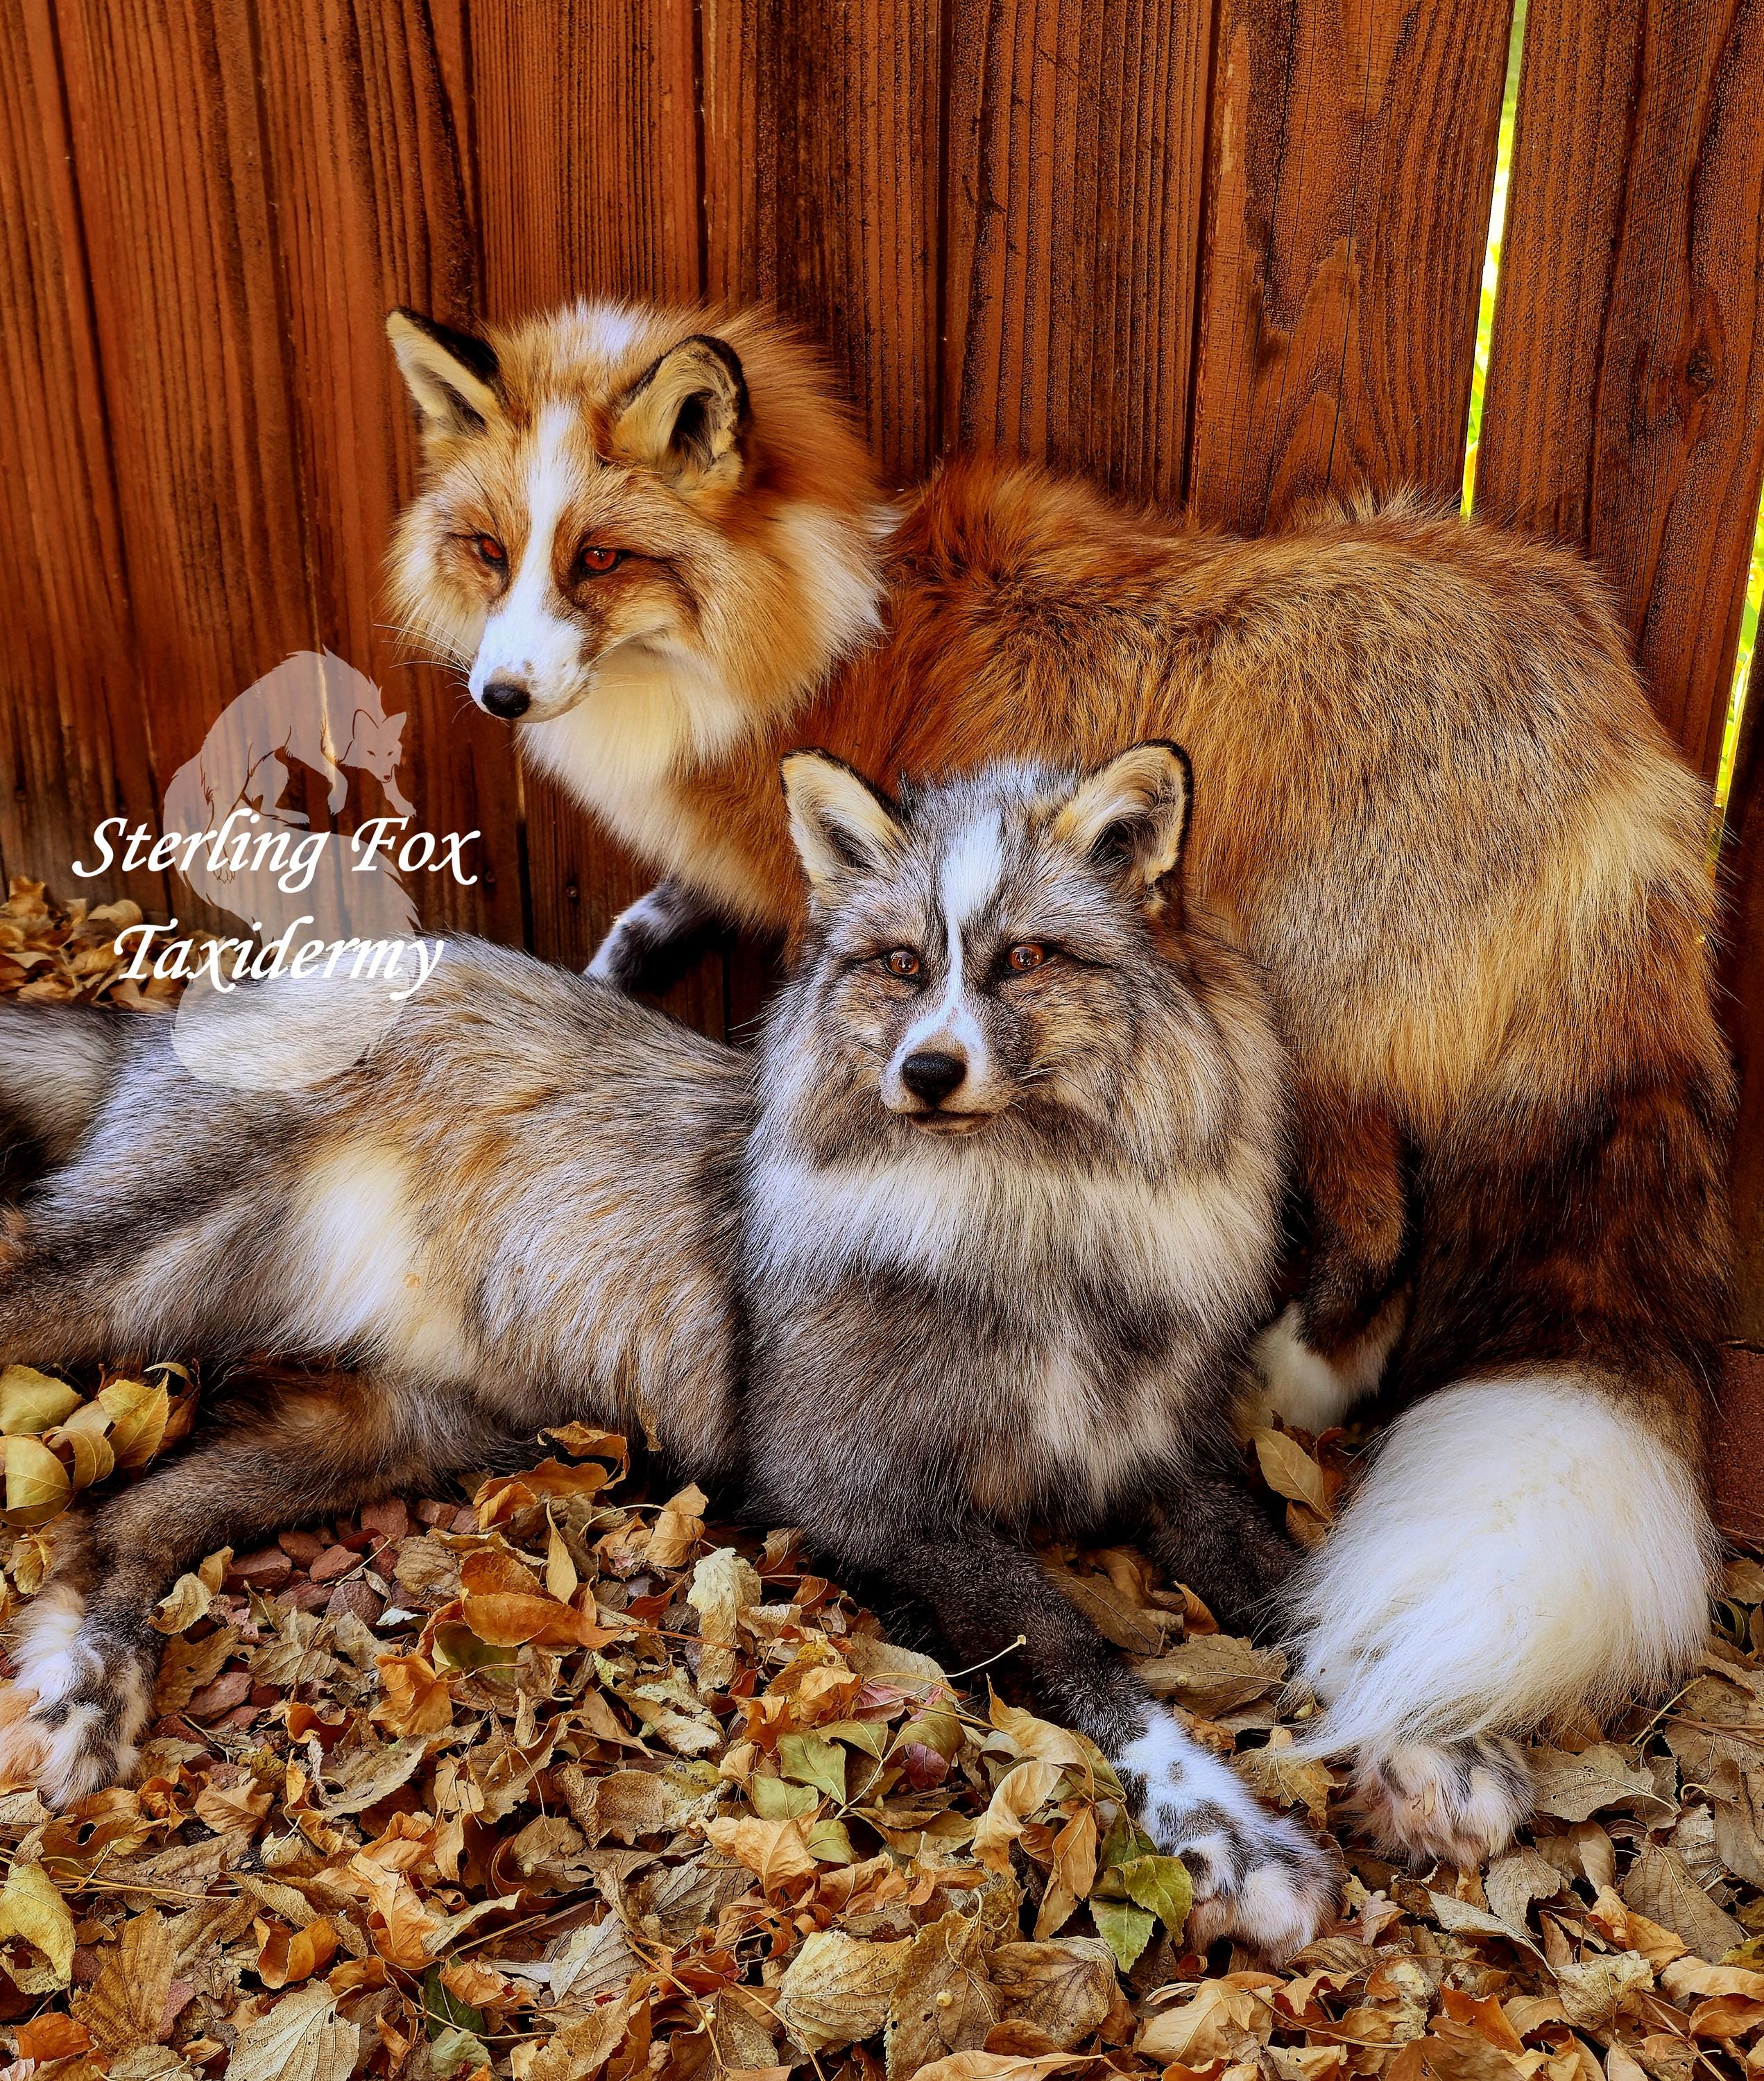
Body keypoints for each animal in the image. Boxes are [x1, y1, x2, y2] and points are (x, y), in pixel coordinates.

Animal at [0, 746, 1335, 1956]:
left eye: (1027, 958)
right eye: (901, 964)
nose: (927, 1072)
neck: (1037, 1238)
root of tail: (188, 1008)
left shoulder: (1156, 1460)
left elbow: (1314, 1601)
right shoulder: (855, 1490)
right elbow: (1082, 1654)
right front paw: (1229, 1835)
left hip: (393, 1427)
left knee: (130, 1515)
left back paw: (89, 1686)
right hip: (130, 1278)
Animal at [382, 297, 1733, 1867]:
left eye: (599, 556)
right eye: (490, 549)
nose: (500, 690)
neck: (813, 624)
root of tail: (1616, 721)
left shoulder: (817, 911)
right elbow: (638, 934)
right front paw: (597, 999)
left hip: (1304, 1021)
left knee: (1378, 1226)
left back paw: (1281, 1381)